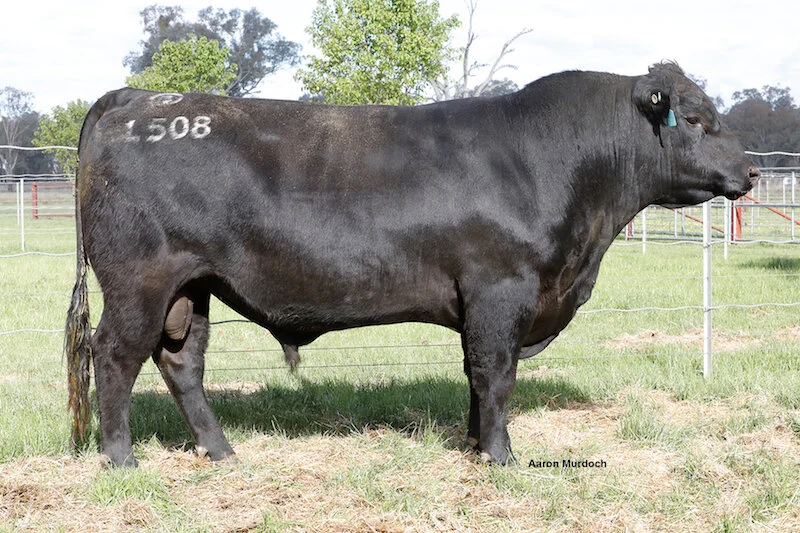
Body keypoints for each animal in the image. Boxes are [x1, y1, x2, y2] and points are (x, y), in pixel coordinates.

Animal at [66, 62, 759, 468]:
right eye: (698, 119)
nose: (752, 172)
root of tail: (139, 99)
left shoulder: (483, 303)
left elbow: (476, 377)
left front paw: (477, 444)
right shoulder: (500, 290)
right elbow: (496, 375)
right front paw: (502, 459)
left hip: (194, 288)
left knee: (182, 363)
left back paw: (222, 453)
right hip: (140, 283)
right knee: (115, 357)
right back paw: (121, 460)